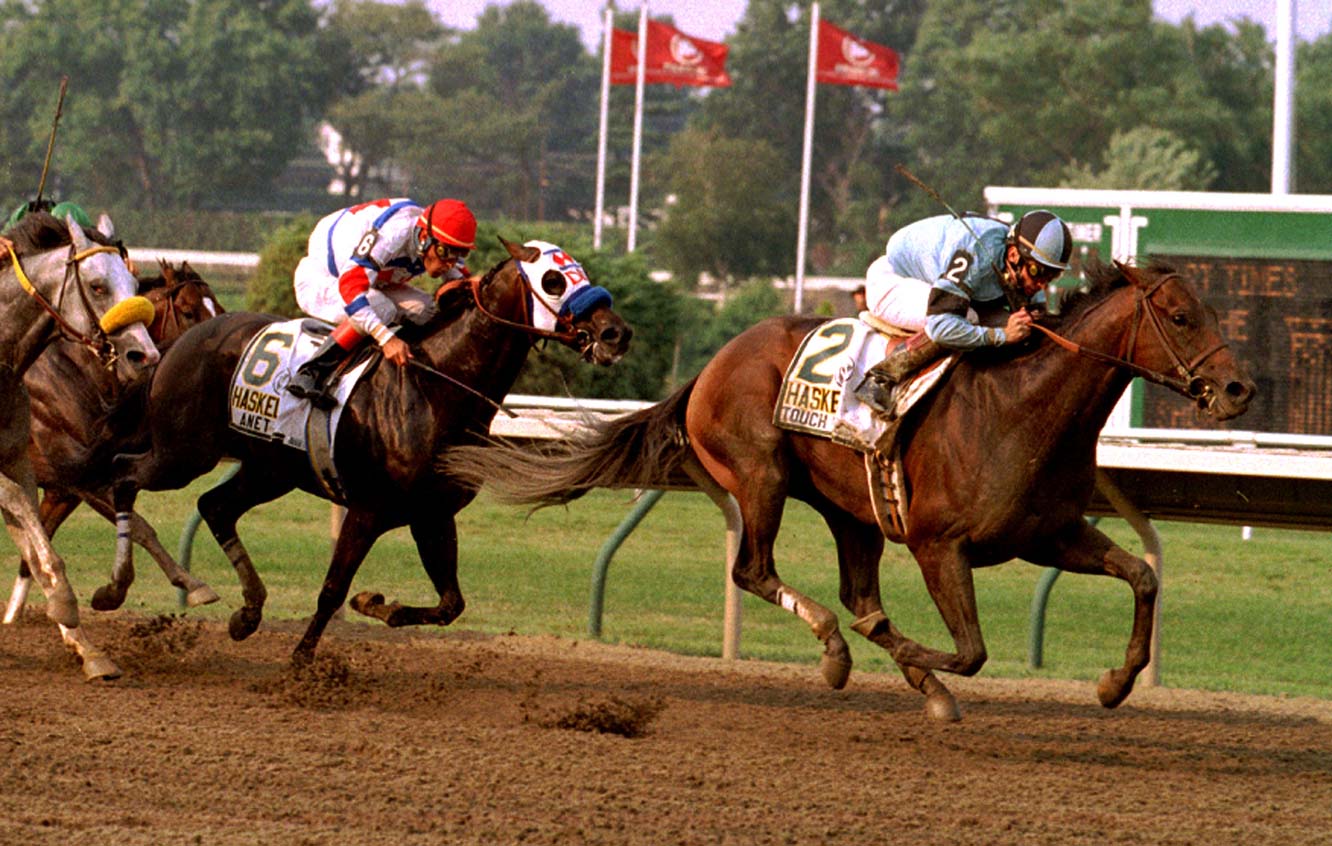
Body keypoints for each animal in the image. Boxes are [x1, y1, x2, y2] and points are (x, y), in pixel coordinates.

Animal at [0, 211, 160, 680]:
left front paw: (86, 648)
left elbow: (35, 549)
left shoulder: (21, 463)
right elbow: (42, 548)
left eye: (135, 281)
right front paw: (66, 609)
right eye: (97, 285)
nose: (144, 355)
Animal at [3, 261, 225, 623]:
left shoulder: (64, 489)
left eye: (217, 307)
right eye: (188, 311)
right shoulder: (76, 476)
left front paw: (14, 617)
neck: (78, 373)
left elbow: (33, 551)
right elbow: (138, 525)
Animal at [108, 236, 632, 665]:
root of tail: (184, 338)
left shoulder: (432, 514)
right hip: (183, 452)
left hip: (269, 470)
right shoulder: (368, 508)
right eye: (554, 280)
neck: (436, 385)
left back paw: (248, 612)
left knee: (214, 506)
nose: (616, 333)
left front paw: (379, 605)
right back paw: (117, 587)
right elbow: (332, 589)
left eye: (580, 270)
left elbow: (451, 604)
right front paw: (303, 661)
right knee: (124, 477)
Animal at [441, 258, 1256, 721]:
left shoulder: (1051, 533)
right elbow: (970, 651)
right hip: (761, 473)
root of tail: (711, 364)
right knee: (758, 571)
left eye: (1214, 310)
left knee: (859, 595)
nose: (1238, 389)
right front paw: (924, 665)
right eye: (1181, 316)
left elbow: (1144, 576)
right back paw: (840, 651)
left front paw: (1116, 684)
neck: (1022, 404)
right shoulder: (937, 544)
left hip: (851, 510)